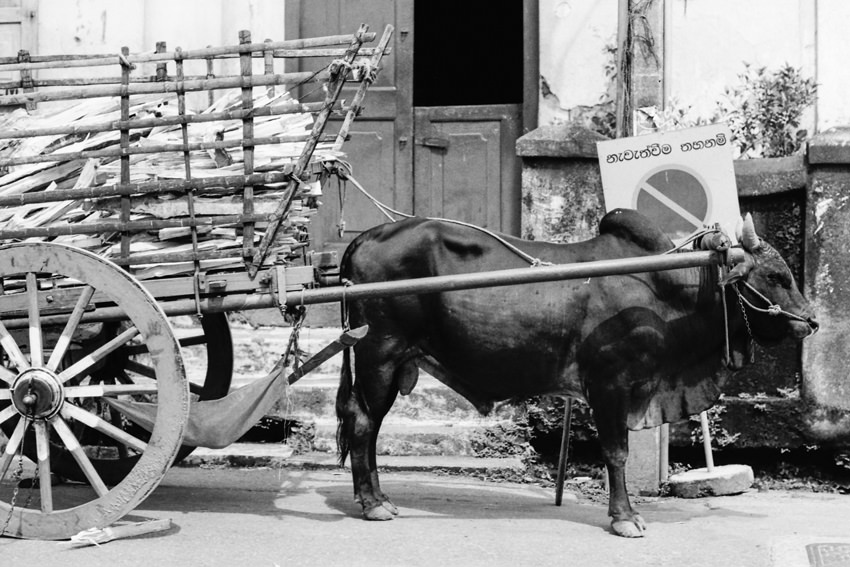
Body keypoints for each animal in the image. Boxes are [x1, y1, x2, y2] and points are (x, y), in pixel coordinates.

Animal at [335, 208, 818, 537]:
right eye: (776, 275)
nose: (812, 320)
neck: (667, 290)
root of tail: (364, 239)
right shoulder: (610, 385)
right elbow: (616, 454)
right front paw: (625, 517)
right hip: (379, 355)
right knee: (363, 423)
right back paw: (373, 504)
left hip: (390, 361)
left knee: (367, 425)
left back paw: (378, 498)